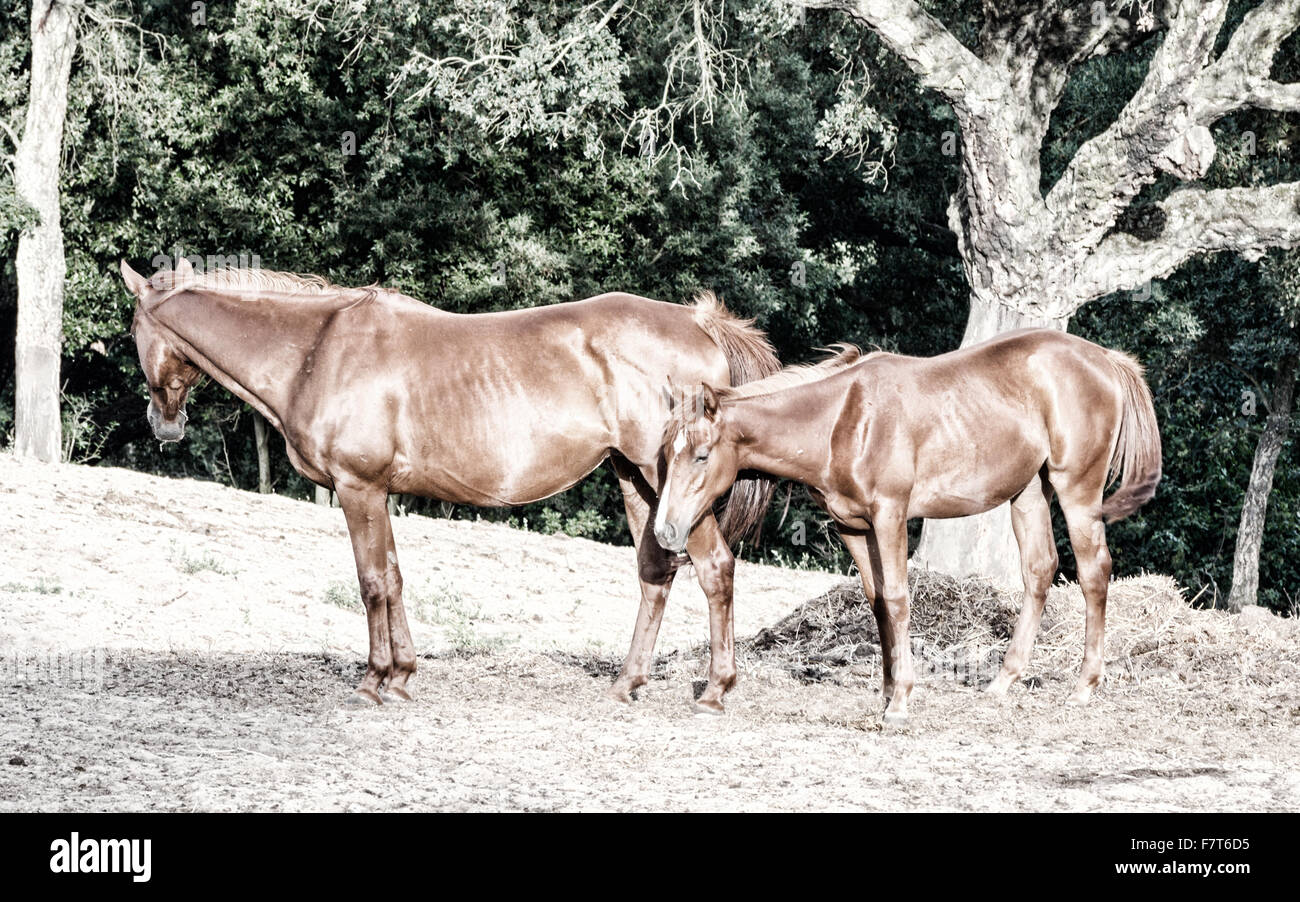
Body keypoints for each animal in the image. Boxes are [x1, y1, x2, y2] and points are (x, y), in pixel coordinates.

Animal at [119, 258, 780, 711]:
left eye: (135, 332)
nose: (163, 424)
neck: (317, 350)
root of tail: (699, 322)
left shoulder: (358, 489)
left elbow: (372, 583)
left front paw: (373, 681)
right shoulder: (378, 493)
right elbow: (394, 579)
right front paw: (403, 676)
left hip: (668, 484)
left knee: (715, 569)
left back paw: (716, 688)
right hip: (640, 482)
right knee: (655, 575)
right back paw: (626, 682)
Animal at [653, 328, 1161, 724]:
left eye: (701, 455)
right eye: (665, 453)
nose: (665, 531)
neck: (844, 420)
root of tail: (1106, 360)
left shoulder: (891, 516)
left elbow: (898, 598)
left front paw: (899, 700)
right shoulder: (853, 527)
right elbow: (877, 600)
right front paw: (886, 688)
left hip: (1077, 491)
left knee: (1093, 573)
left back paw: (1084, 686)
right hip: (1028, 493)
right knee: (1039, 570)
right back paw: (1003, 681)